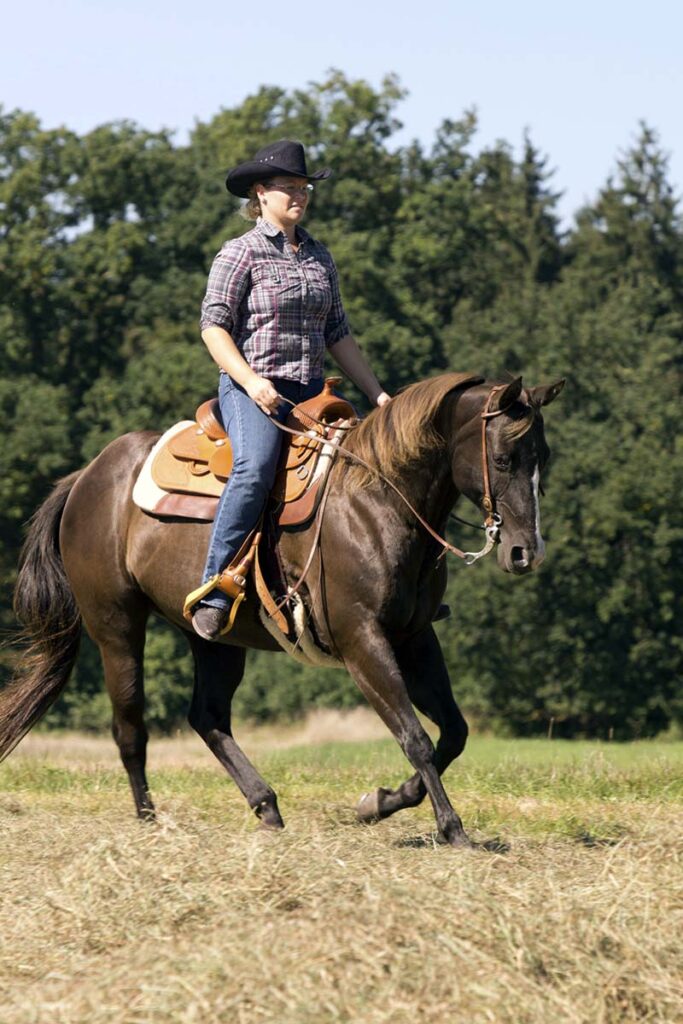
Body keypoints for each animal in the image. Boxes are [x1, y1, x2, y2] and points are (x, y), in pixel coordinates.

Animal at [1, 372, 563, 848]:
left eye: (545, 459)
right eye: (506, 459)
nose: (526, 552)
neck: (376, 500)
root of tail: (88, 476)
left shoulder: (415, 637)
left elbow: (455, 732)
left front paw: (379, 803)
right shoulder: (363, 640)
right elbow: (416, 737)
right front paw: (451, 828)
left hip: (215, 639)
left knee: (207, 716)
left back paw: (266, 805)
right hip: (116, 626)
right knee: (130, 727)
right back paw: (149, 821)